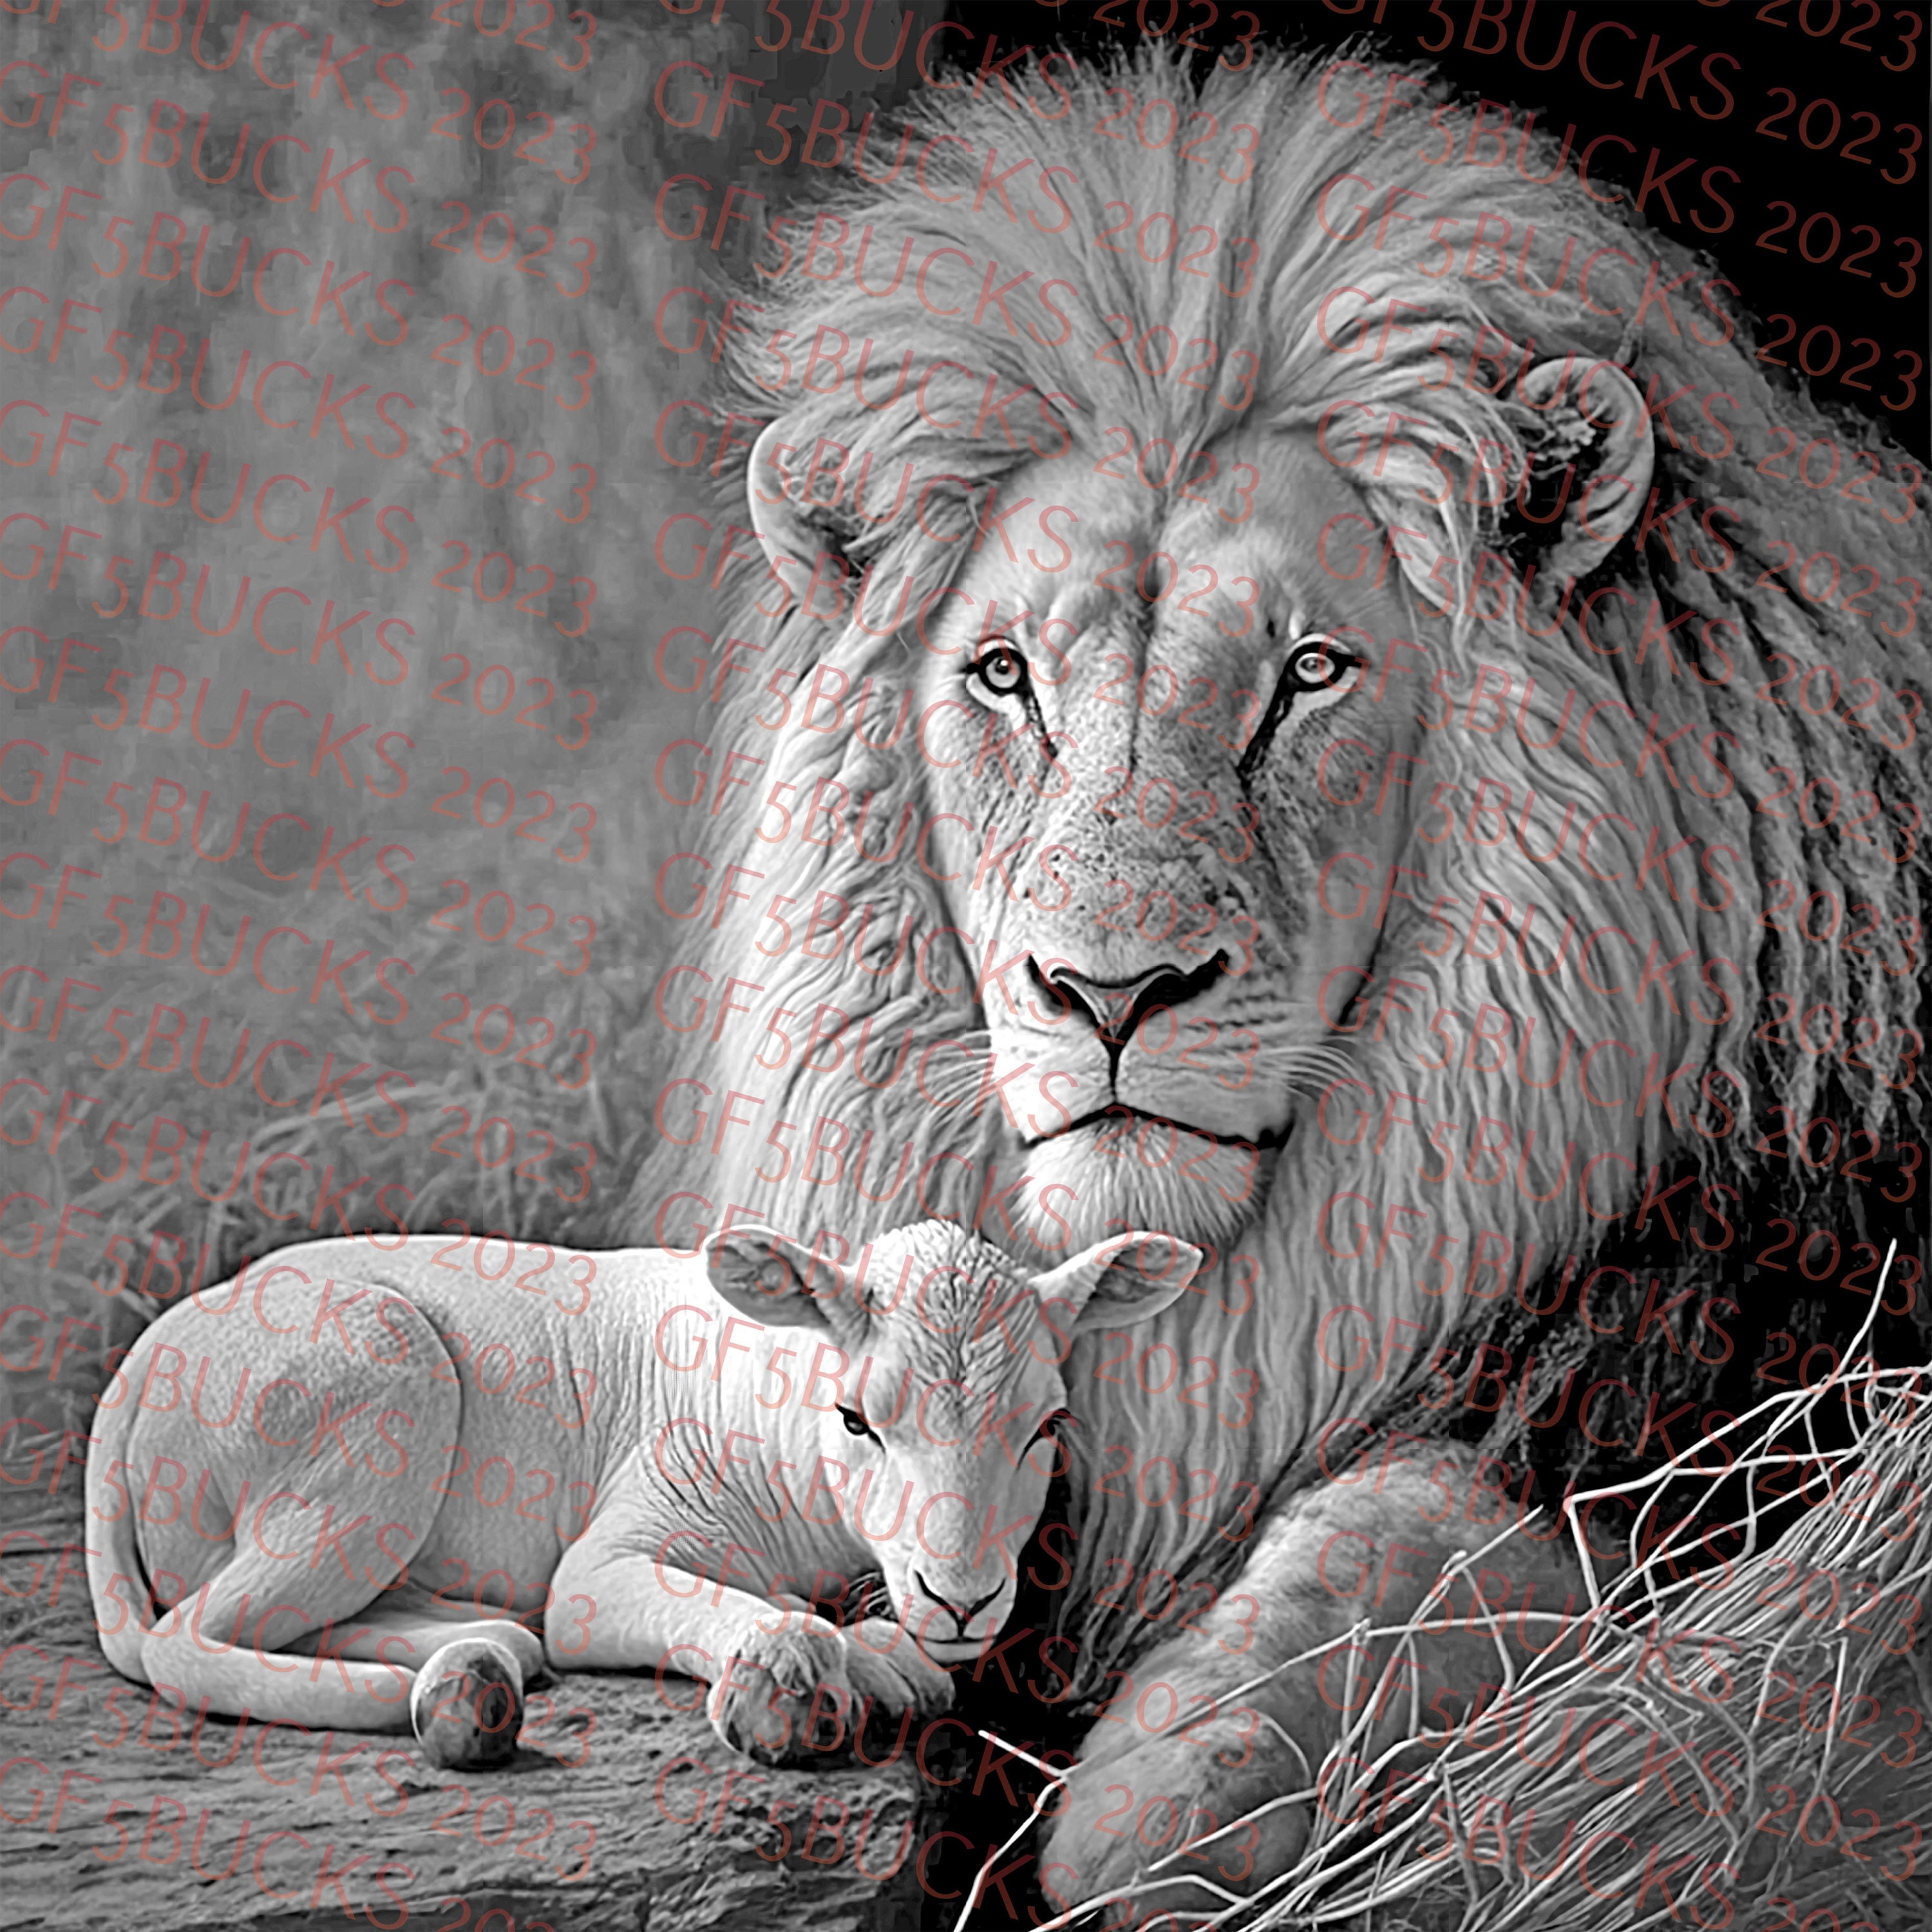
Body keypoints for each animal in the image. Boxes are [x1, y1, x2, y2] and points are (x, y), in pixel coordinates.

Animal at [636, 41, 1931, 1919]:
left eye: (1309, 675)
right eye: (1003, 676)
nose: (1109, 991)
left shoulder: (1761, 1339)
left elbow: (1408, 1541)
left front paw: (1155, 1799)